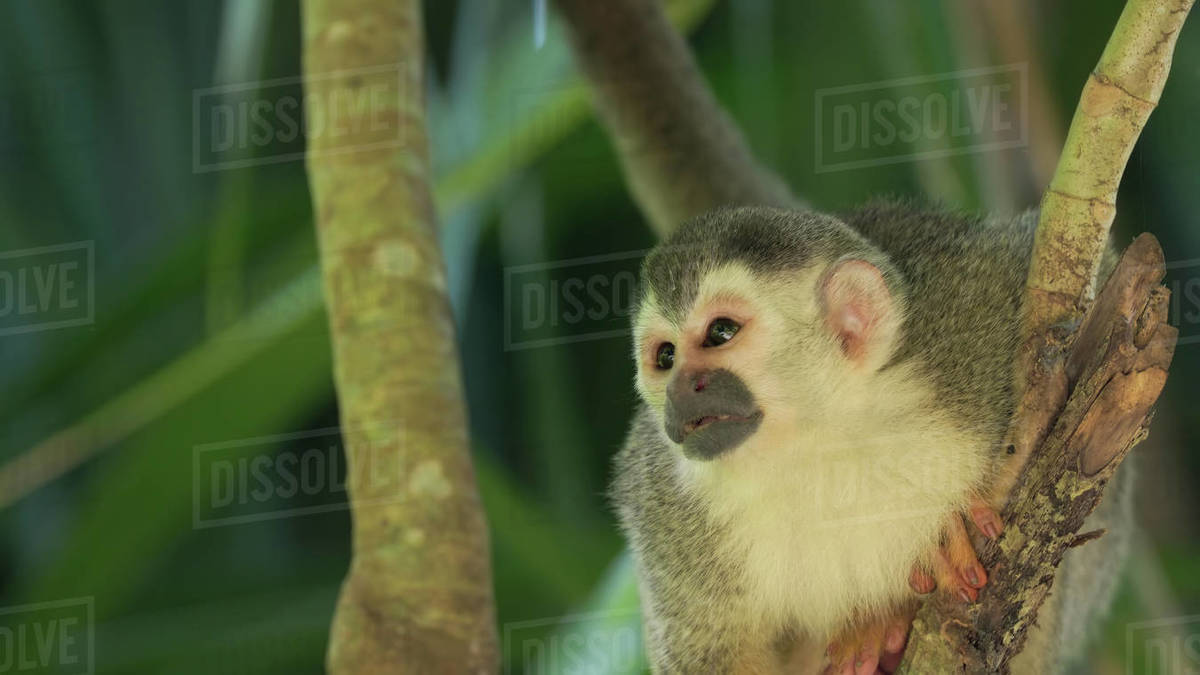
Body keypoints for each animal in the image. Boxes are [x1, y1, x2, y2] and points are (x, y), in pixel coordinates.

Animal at [612, 201, 1133, 674]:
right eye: (665, 357)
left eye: (721, 332)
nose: (681, 390)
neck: (817, 441)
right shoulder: (661, 507)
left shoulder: (969, 317)